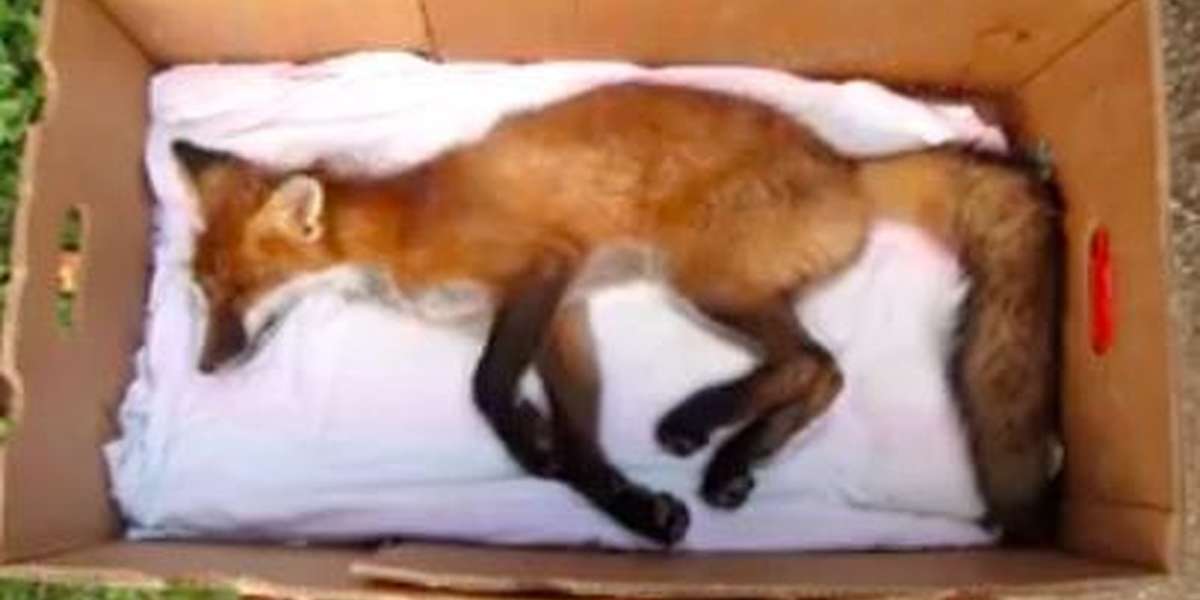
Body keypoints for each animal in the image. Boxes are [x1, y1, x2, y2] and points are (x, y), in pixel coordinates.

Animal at [174, 82, 1062, 547]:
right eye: (202, 294)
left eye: (240, 291)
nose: (204, 368)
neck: (399, 235)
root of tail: (846, 163)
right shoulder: (564, 315)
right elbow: (579, 443)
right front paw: (635, 510)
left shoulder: (541, 270)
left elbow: (487, 386)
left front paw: (531, 448)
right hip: (725, 290)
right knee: (826, 372)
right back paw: (736, 459)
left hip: (701, 283)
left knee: (814, 362)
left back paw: (702, 423)